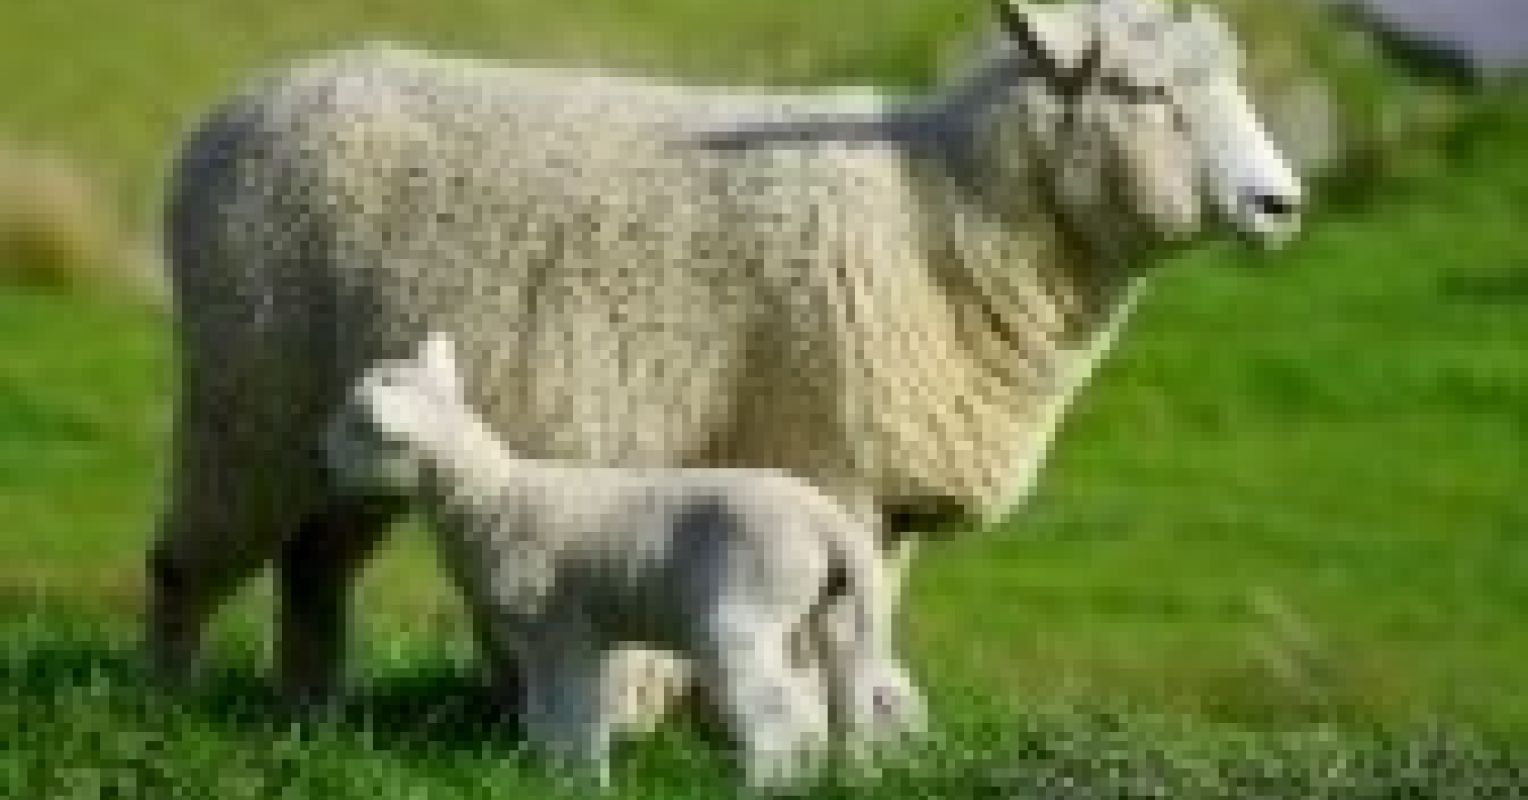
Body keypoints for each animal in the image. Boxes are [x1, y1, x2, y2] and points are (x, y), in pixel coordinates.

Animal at [148, 0, 1304, 725]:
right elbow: (826, 620)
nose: (1279, 204)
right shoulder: (824, 455)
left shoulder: (888, 484)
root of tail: (236, 108)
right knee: (188, 563)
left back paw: (310, 712)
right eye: (1143, 92)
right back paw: (162, 700)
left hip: (350, 440)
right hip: (246, 395)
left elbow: (872, 610)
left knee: (314, 565)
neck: (940, 213)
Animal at [321, 333, 928, 788]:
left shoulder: (564, 630)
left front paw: (584, 779)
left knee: (778, 714)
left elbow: (575, 714)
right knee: (844, 703)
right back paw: (847, 776)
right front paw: (546, 774)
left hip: (741, 610)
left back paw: (762, 785)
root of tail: (824, 518)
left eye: (358, 424)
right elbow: (546, 716)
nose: (318, 457)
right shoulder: (550, 642)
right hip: (834, 609)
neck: (491, 497)